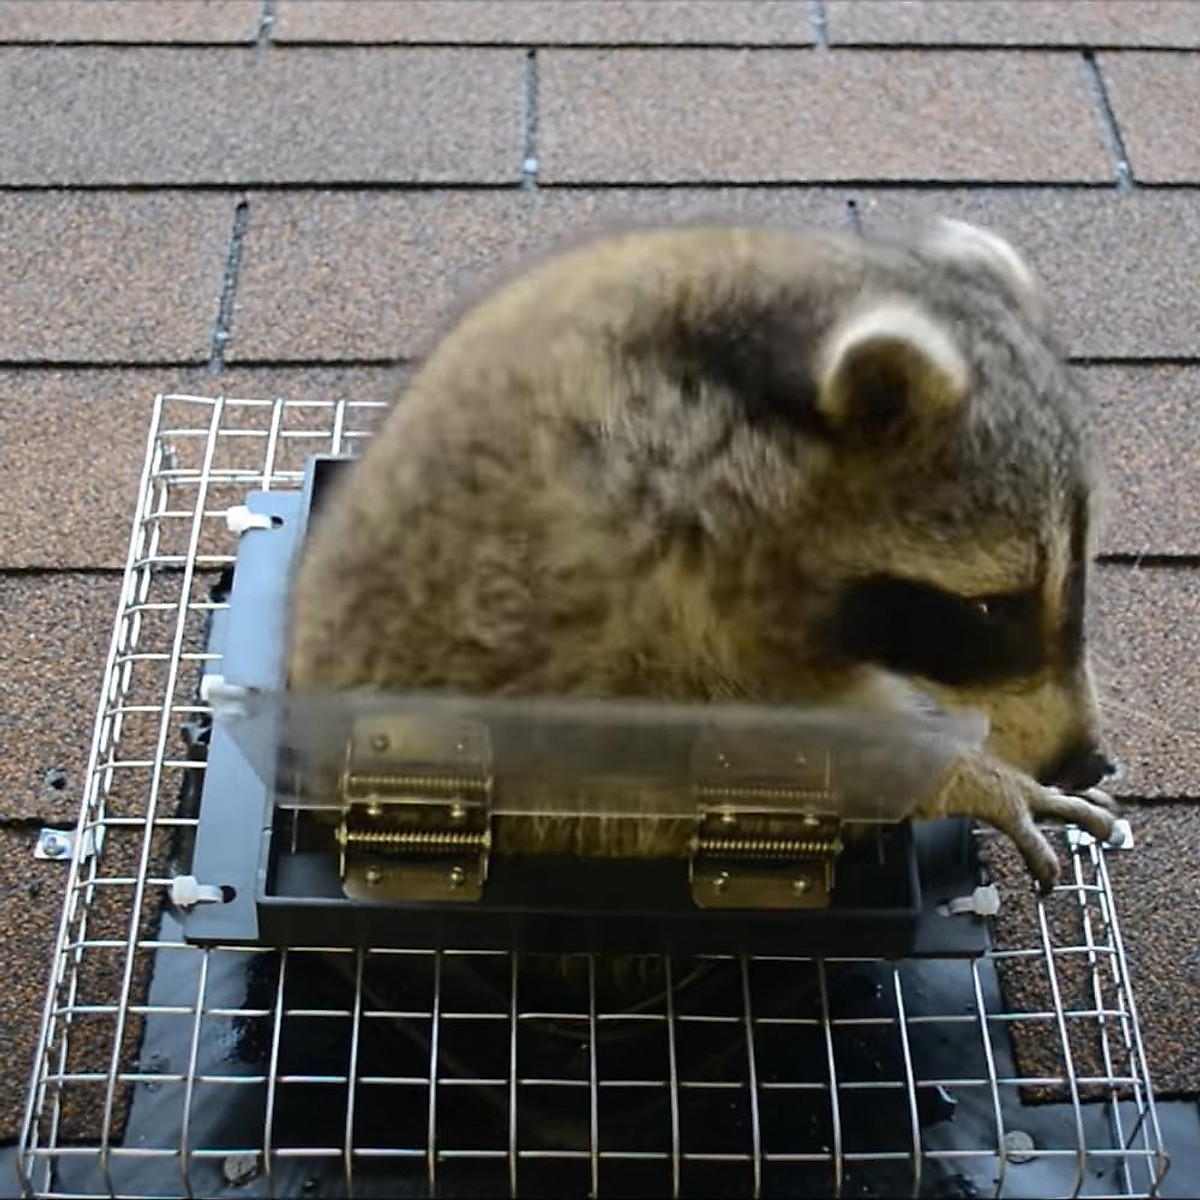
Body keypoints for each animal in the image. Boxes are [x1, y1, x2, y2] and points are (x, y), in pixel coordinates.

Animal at [287, 216, 1118, 896]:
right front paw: (969, 777)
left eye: (1079, 575)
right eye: (987, 607)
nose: (1083, 760)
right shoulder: (653, 583)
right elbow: (775, 745)